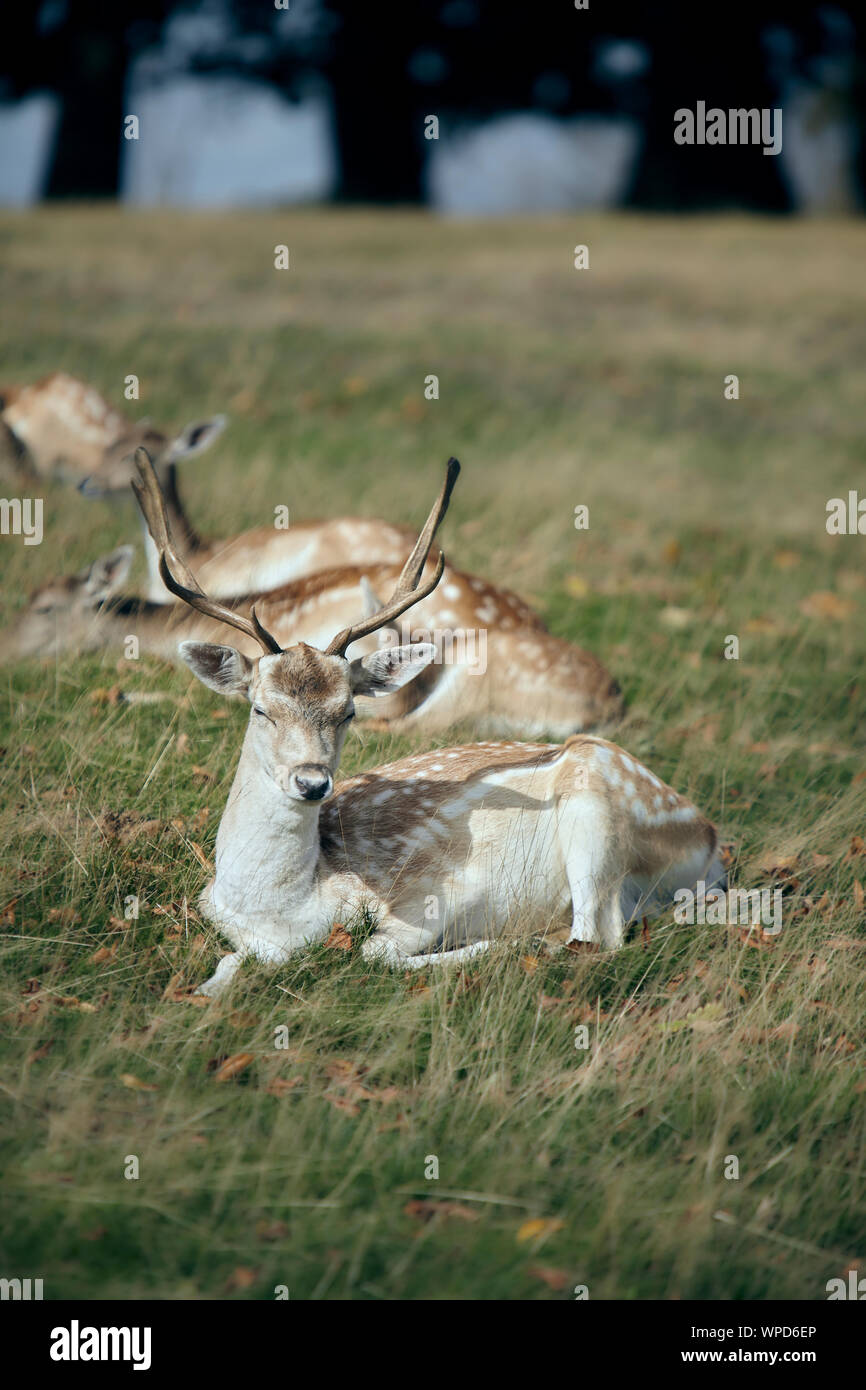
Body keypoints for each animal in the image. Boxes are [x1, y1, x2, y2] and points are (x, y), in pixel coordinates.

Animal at [131, 450, 726, 997]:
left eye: (348, 711)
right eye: (260, 708)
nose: (312, 782)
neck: (280, 911)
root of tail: (713, 841)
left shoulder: (434, 890)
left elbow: (374, 951)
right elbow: (227, 965)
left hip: (597, 814)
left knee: (595, 939)